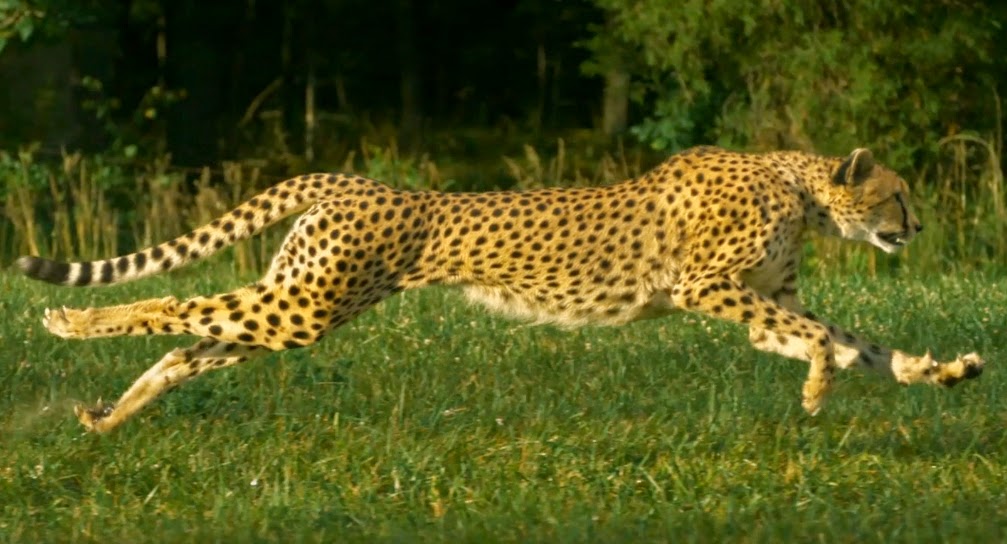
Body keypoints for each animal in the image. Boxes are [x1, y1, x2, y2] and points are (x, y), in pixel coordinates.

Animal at [15, 145, 984, 433]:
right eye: (897, 194)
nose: (915, 228)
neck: (799, 185)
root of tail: (348, 179)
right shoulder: (704, 287)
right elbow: (824, 342)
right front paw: (816, 390)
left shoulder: (763, 301)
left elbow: (861, 343)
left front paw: (940, 371)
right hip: (305, 305)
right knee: (171, 308)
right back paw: (67, 322)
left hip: (299, 305)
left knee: (191, 344)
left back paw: (107, 416)